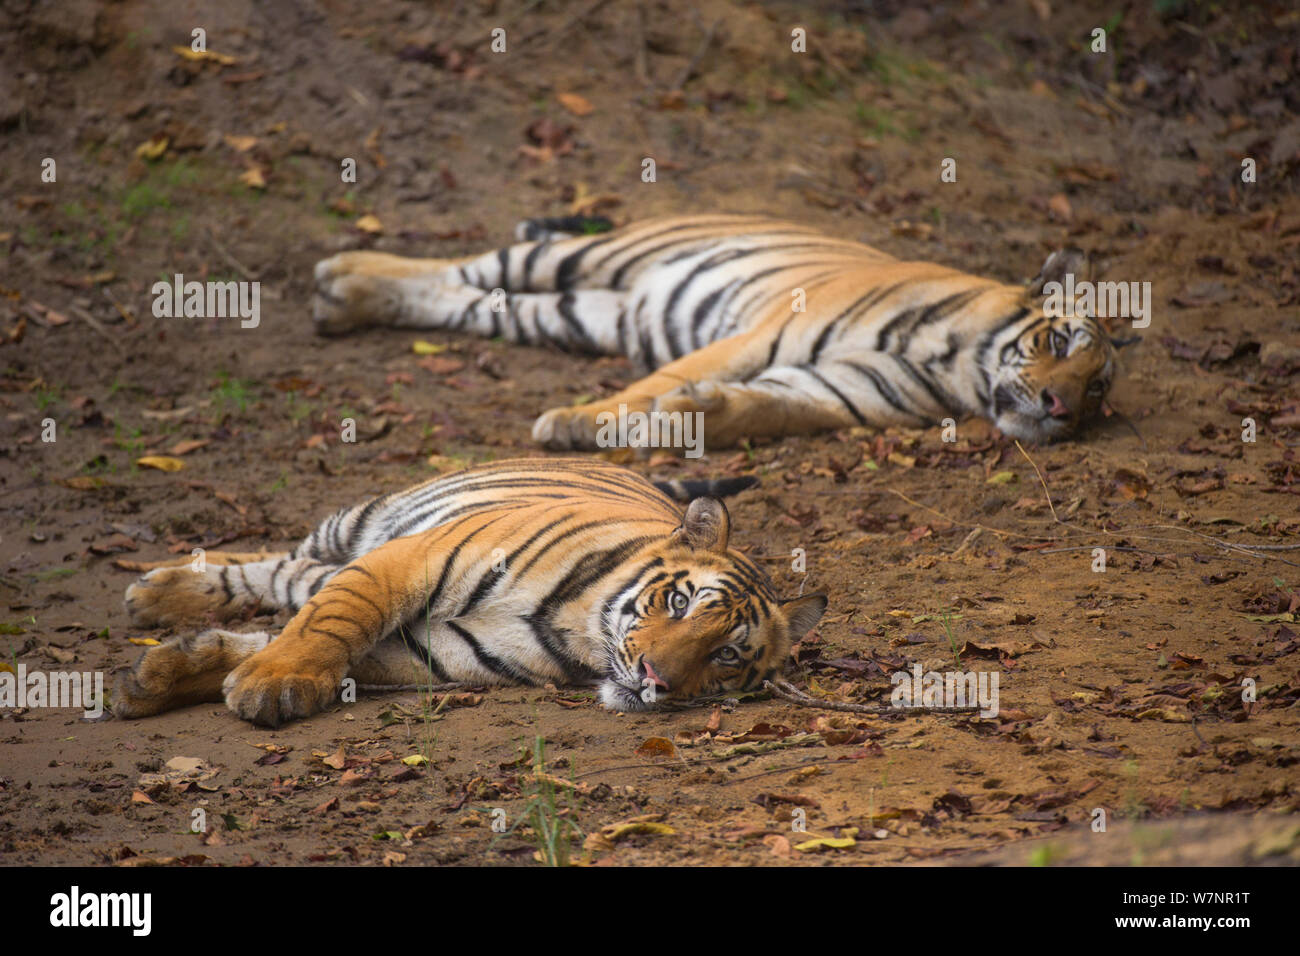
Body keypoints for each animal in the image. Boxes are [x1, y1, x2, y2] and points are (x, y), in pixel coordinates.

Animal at [113, 457, 826, 726]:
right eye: (680, 603)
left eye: (727, 655)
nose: (658, 679)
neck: (577, 625)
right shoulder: (409, 558)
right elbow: (332, 622)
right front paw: (275, 682)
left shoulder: (436, 650)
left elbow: (317, 638)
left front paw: (166, 675)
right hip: (359, 524)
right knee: (281, 564)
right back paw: (156, 589)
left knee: (295, 581)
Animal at [312, 214, 1135, 452]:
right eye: (1058, 345)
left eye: (1097, 391)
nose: (1060, 408)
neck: (961, 363)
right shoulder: (763, 333)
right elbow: (658, 379)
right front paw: (581, 423)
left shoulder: (838, 389)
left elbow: (770, 405)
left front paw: (696, 415)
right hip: (580, 255)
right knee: (466, 264)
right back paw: (340, 278)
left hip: (578, 311)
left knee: (464, 298)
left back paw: (346, 298)